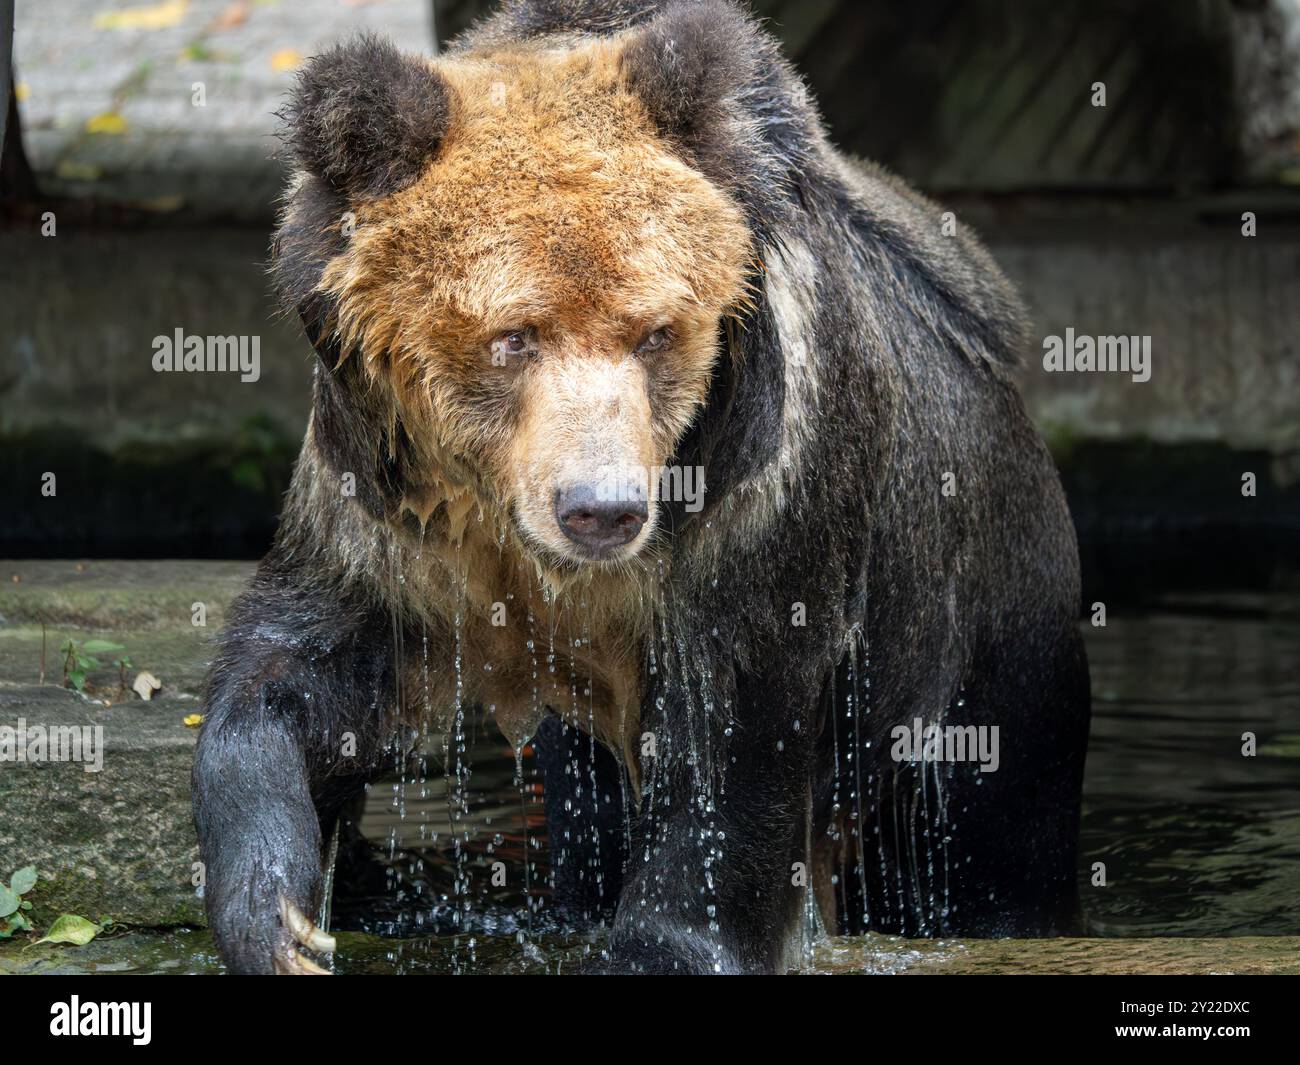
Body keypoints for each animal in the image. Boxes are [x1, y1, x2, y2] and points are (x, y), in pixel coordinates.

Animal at [192, 0, 1091, 975]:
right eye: (515, 336)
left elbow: (725, 764)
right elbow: (292, 679)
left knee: (994, 829)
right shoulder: (392, 516)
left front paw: (664, 939)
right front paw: (281, 917)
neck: (520, 543)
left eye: (657, 331)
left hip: (975, 630)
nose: (602, 509)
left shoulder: (751, 518)